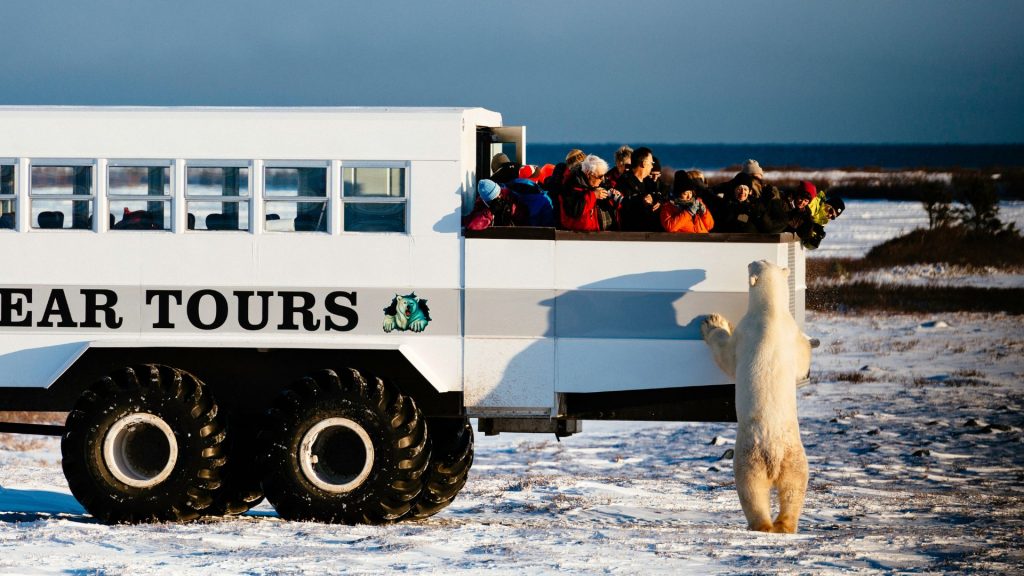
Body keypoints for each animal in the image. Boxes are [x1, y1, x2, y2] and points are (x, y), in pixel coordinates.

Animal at [701, 260, 812, 534]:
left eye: (755, 264)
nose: (750, 260)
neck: (771, 313)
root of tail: (774, 456)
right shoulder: (791, 334)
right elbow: (802, 358)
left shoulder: (746, 332)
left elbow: (725, 353)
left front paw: (712, 322)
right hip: (795, 459)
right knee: (794, 487)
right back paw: (785, 524)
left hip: (749, 458)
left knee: (750, 490)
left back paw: (761, 524)